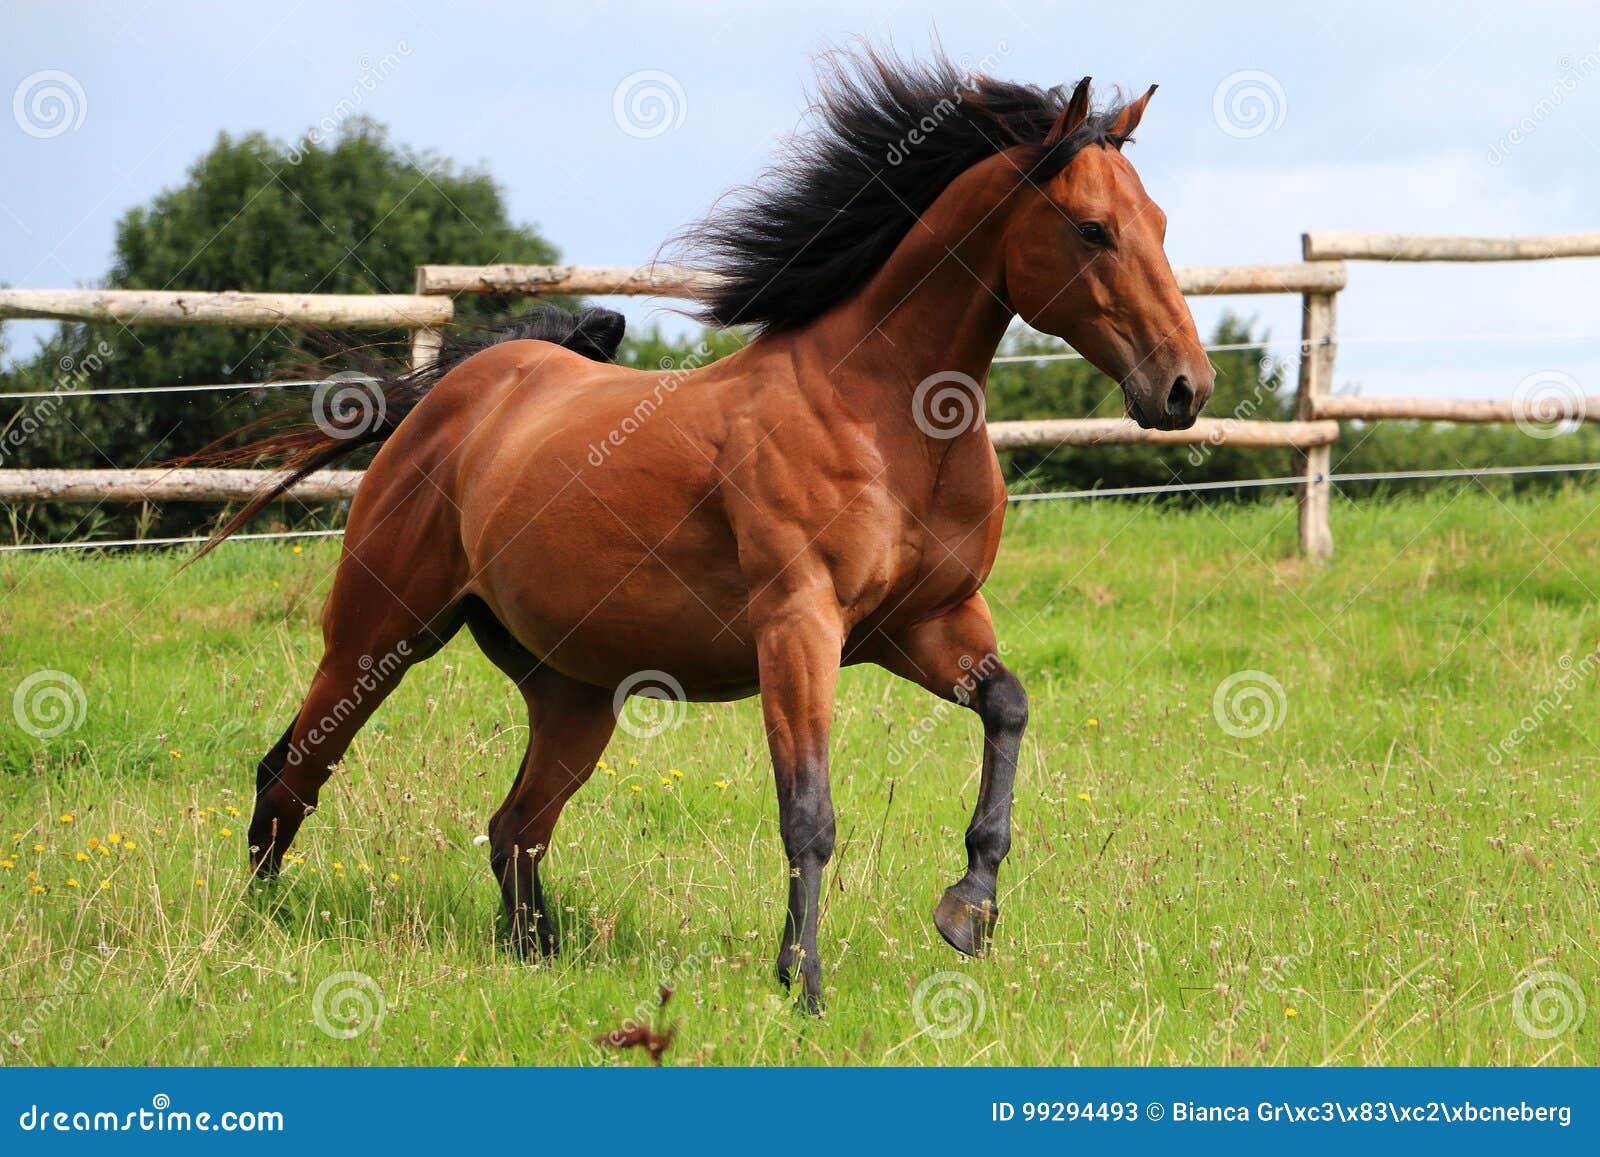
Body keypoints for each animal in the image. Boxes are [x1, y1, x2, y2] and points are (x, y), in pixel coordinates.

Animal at [200, 48, 1214, 1011]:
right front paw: (804, 987)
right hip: (381, 633)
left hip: (573, 693)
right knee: (290, 774)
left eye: (1164, 224)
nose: (1183, 388)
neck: (885, 414)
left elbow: (1008, 709)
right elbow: (809, 812)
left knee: (514, 828)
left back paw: (537, 957)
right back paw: (260, 930)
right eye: (1091, 228)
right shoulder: (800, 627)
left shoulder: (927, 625)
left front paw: (968, 910)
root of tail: (458, 393)